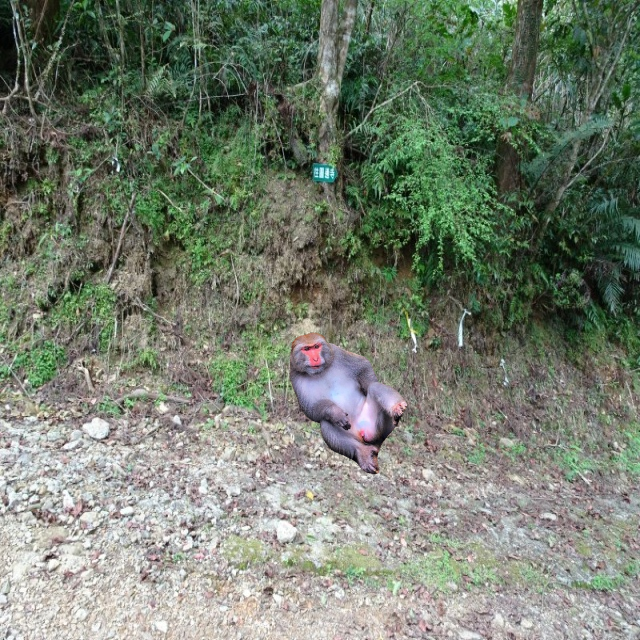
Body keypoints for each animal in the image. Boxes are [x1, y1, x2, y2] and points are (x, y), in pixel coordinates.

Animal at [289, 333, 407, 474]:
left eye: (316, 347)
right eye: (306, 349)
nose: (315, 358)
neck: (320, 371)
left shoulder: (337, 353)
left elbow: (363, 365)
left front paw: (367, 383)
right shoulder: (295, 377)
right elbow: (310, 409)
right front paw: (335, 412)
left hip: (380, 426)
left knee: (375, 387)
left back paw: (396, 408)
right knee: (326, 423)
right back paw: (362, 453)